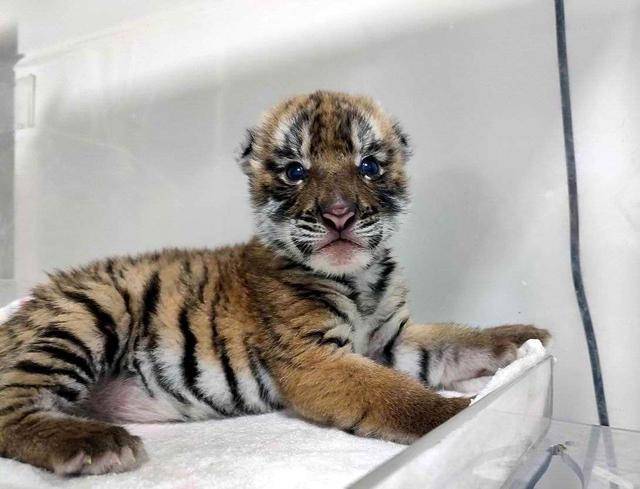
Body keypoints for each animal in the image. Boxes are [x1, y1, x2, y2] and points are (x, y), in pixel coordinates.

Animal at [0, 90, 549, 476]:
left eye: (369, 166)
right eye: (295, 171)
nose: (339, 214)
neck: (360, 278)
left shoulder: (392, 339)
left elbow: (454, 342)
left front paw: (521, 338)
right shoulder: (315, 358)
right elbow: (392, 392)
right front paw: (456, 415)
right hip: (88, 313)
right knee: (9, 407)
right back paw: (95, 444)